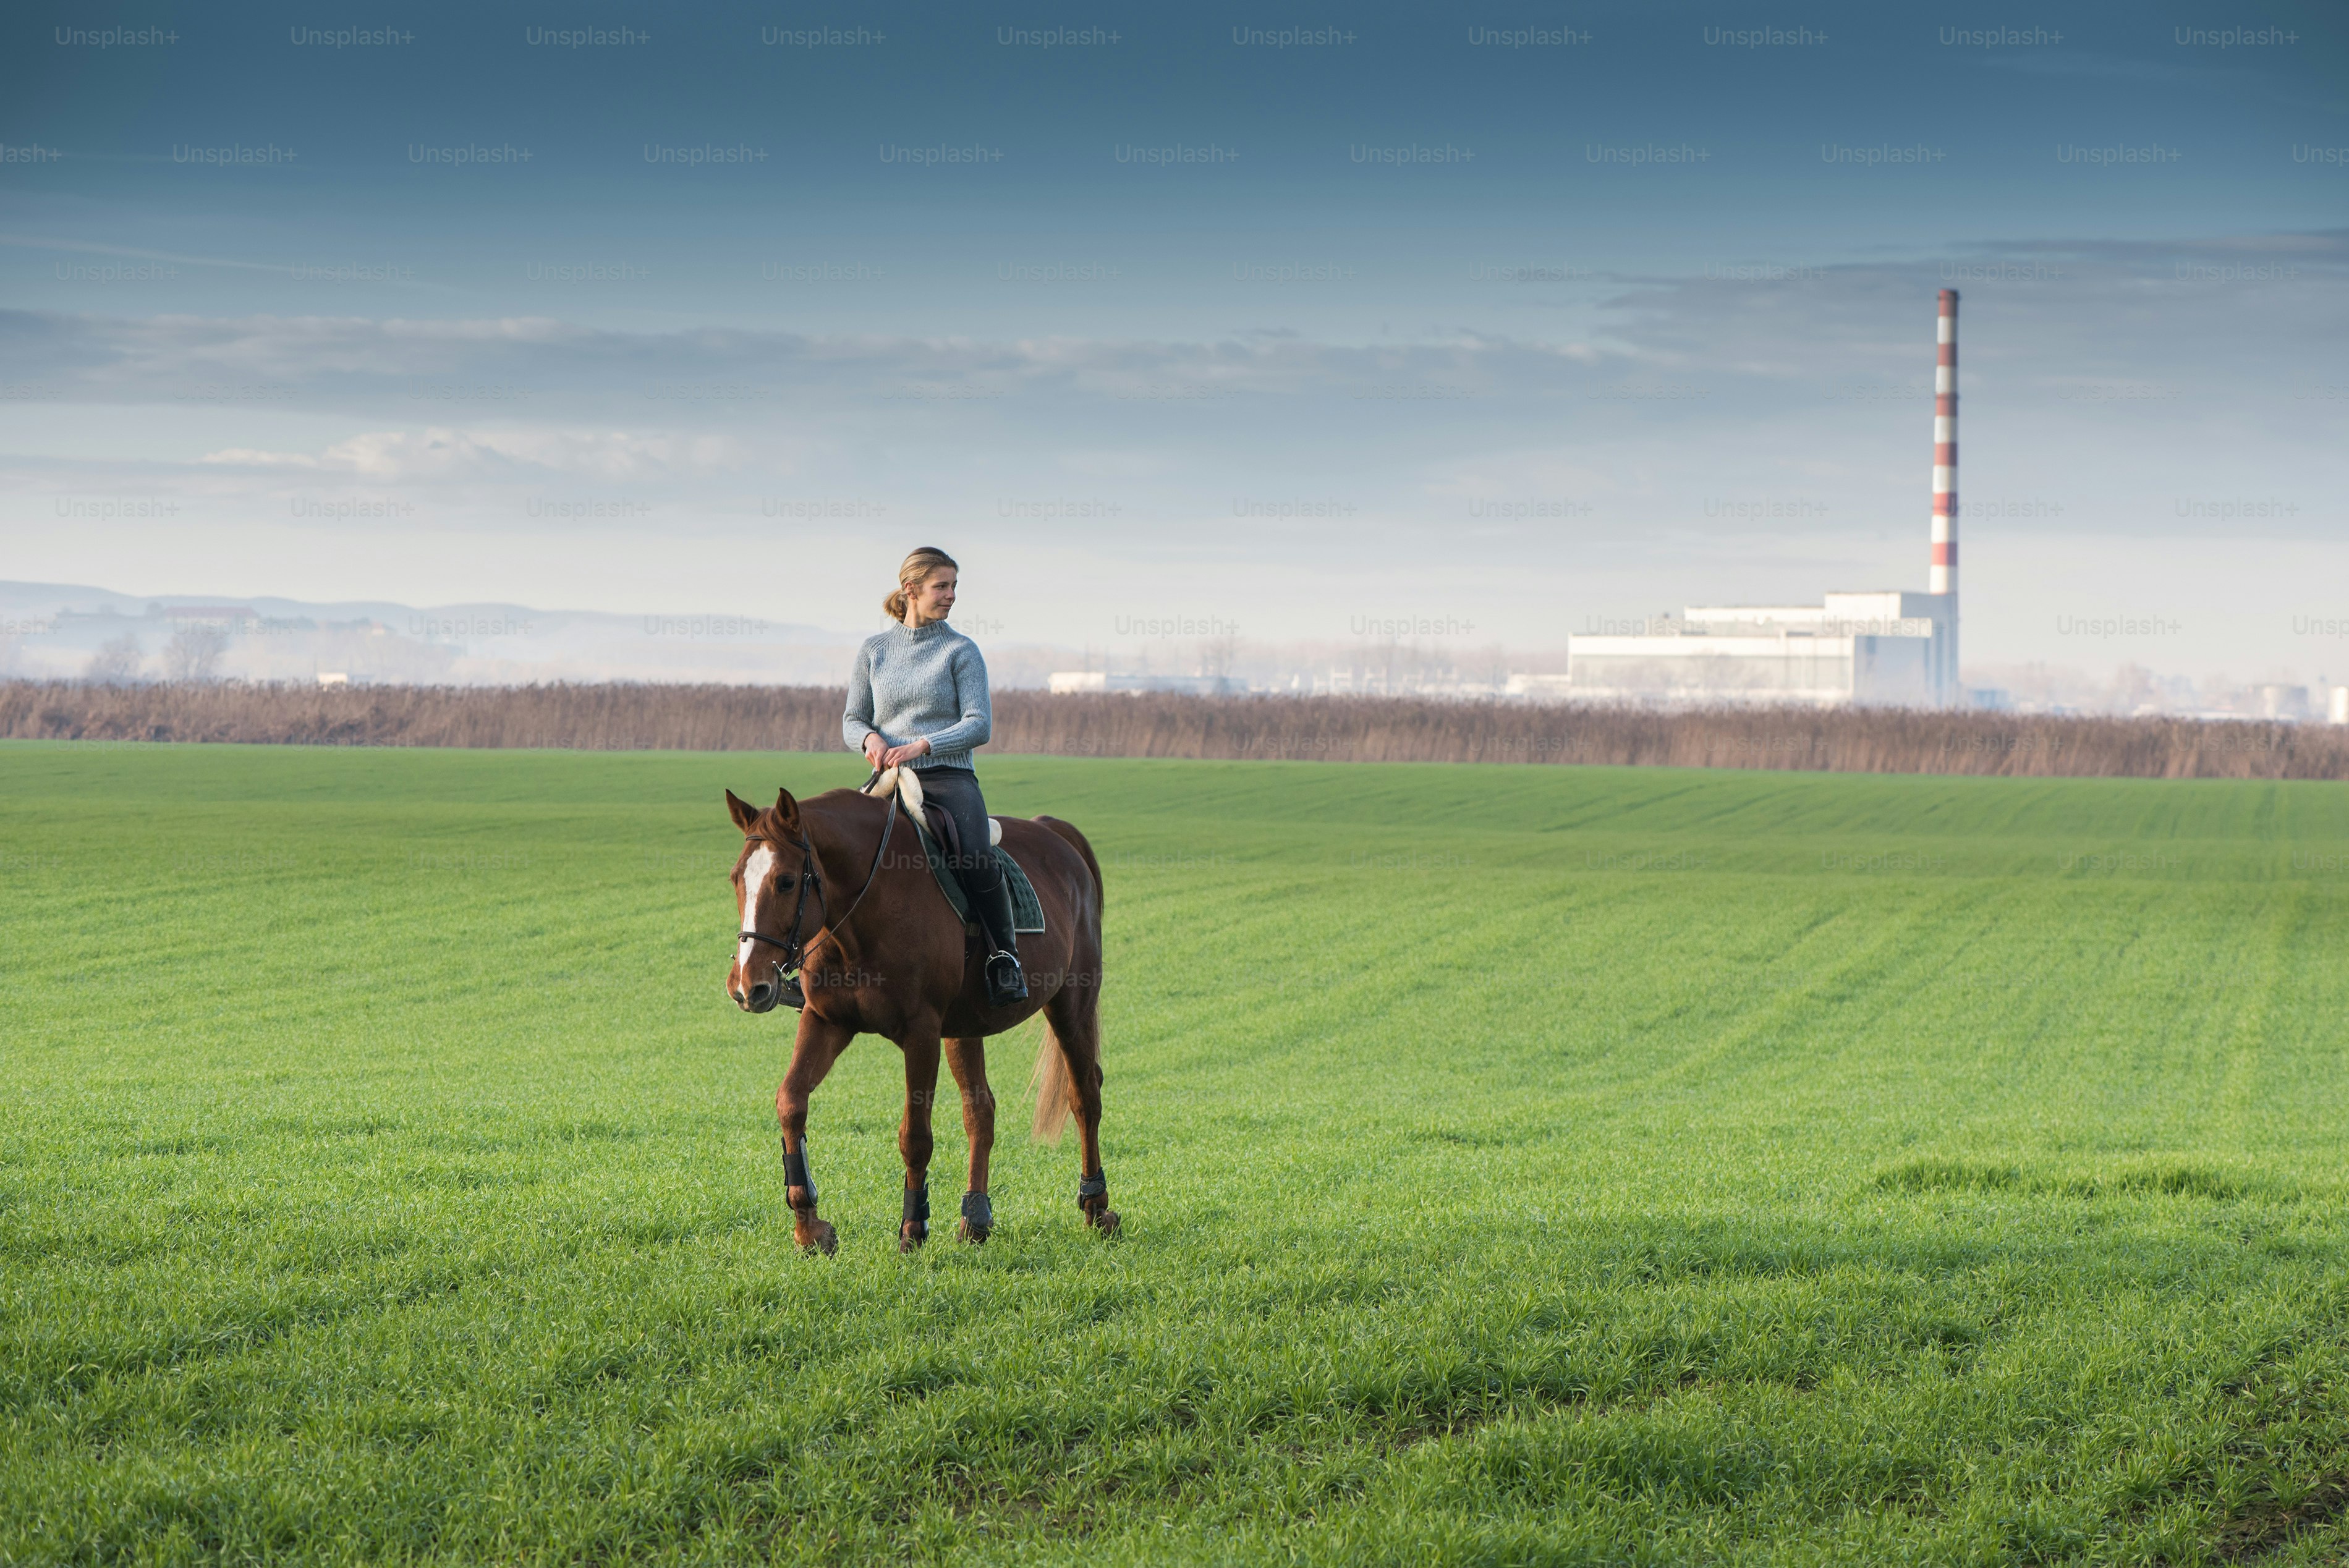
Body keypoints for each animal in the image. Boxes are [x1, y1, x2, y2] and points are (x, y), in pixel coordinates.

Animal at [724, 781, 1116, 1253]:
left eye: (784, 881)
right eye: (736, 879)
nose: (748, 986)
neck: (868, 905)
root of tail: (1056, 833)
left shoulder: (921, 1033)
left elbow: (914, 1136)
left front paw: (913, 1229)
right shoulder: (826, 1021)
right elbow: (790, 1103)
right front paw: (809, 1226)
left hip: (1071, 1007)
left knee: (1085, 1096)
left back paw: (1096, 1205)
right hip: (965, 1028)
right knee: (981, 1111)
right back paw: (976, 1218)